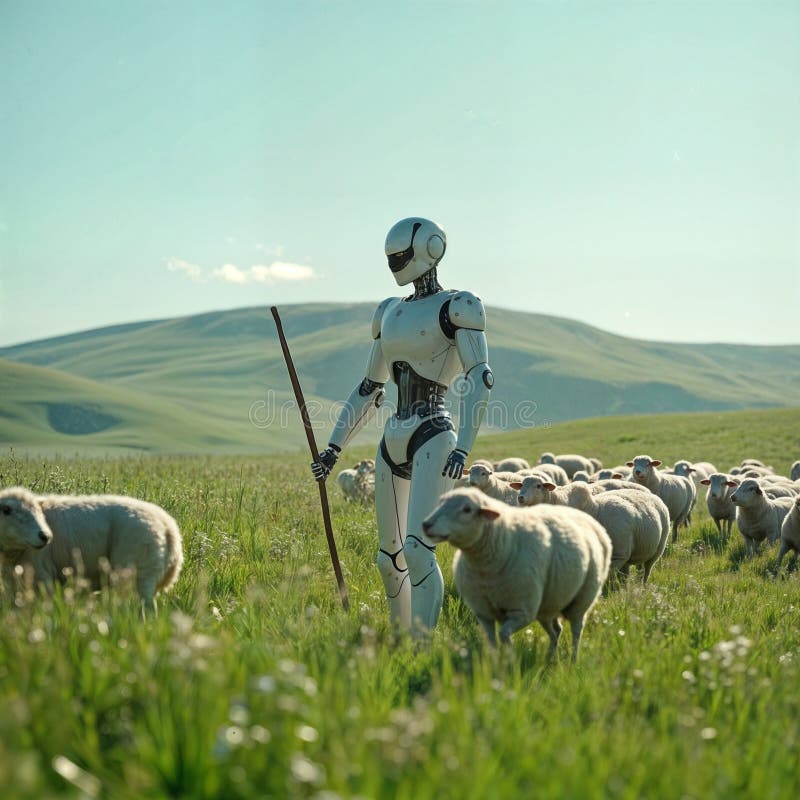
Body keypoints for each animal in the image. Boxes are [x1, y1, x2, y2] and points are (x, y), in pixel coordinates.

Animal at [0, 486, 183, 611]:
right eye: (7, 510)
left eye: (38, 511)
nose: (45, 536)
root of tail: (169, 527)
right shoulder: (12, 581)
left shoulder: (41, 574)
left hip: (141, 571)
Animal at [421, 487, 611, 661]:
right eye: (440, 502)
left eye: (467, 509)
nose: (426, 525)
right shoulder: (483, 612)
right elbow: (491, 641)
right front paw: (496, 663)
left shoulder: (521, 611)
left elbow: (504, 634)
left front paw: (510, 658)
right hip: (548, 604)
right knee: (556, 630)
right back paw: (549, 659)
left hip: (581, 599)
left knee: (576, 630)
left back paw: (573, 660)